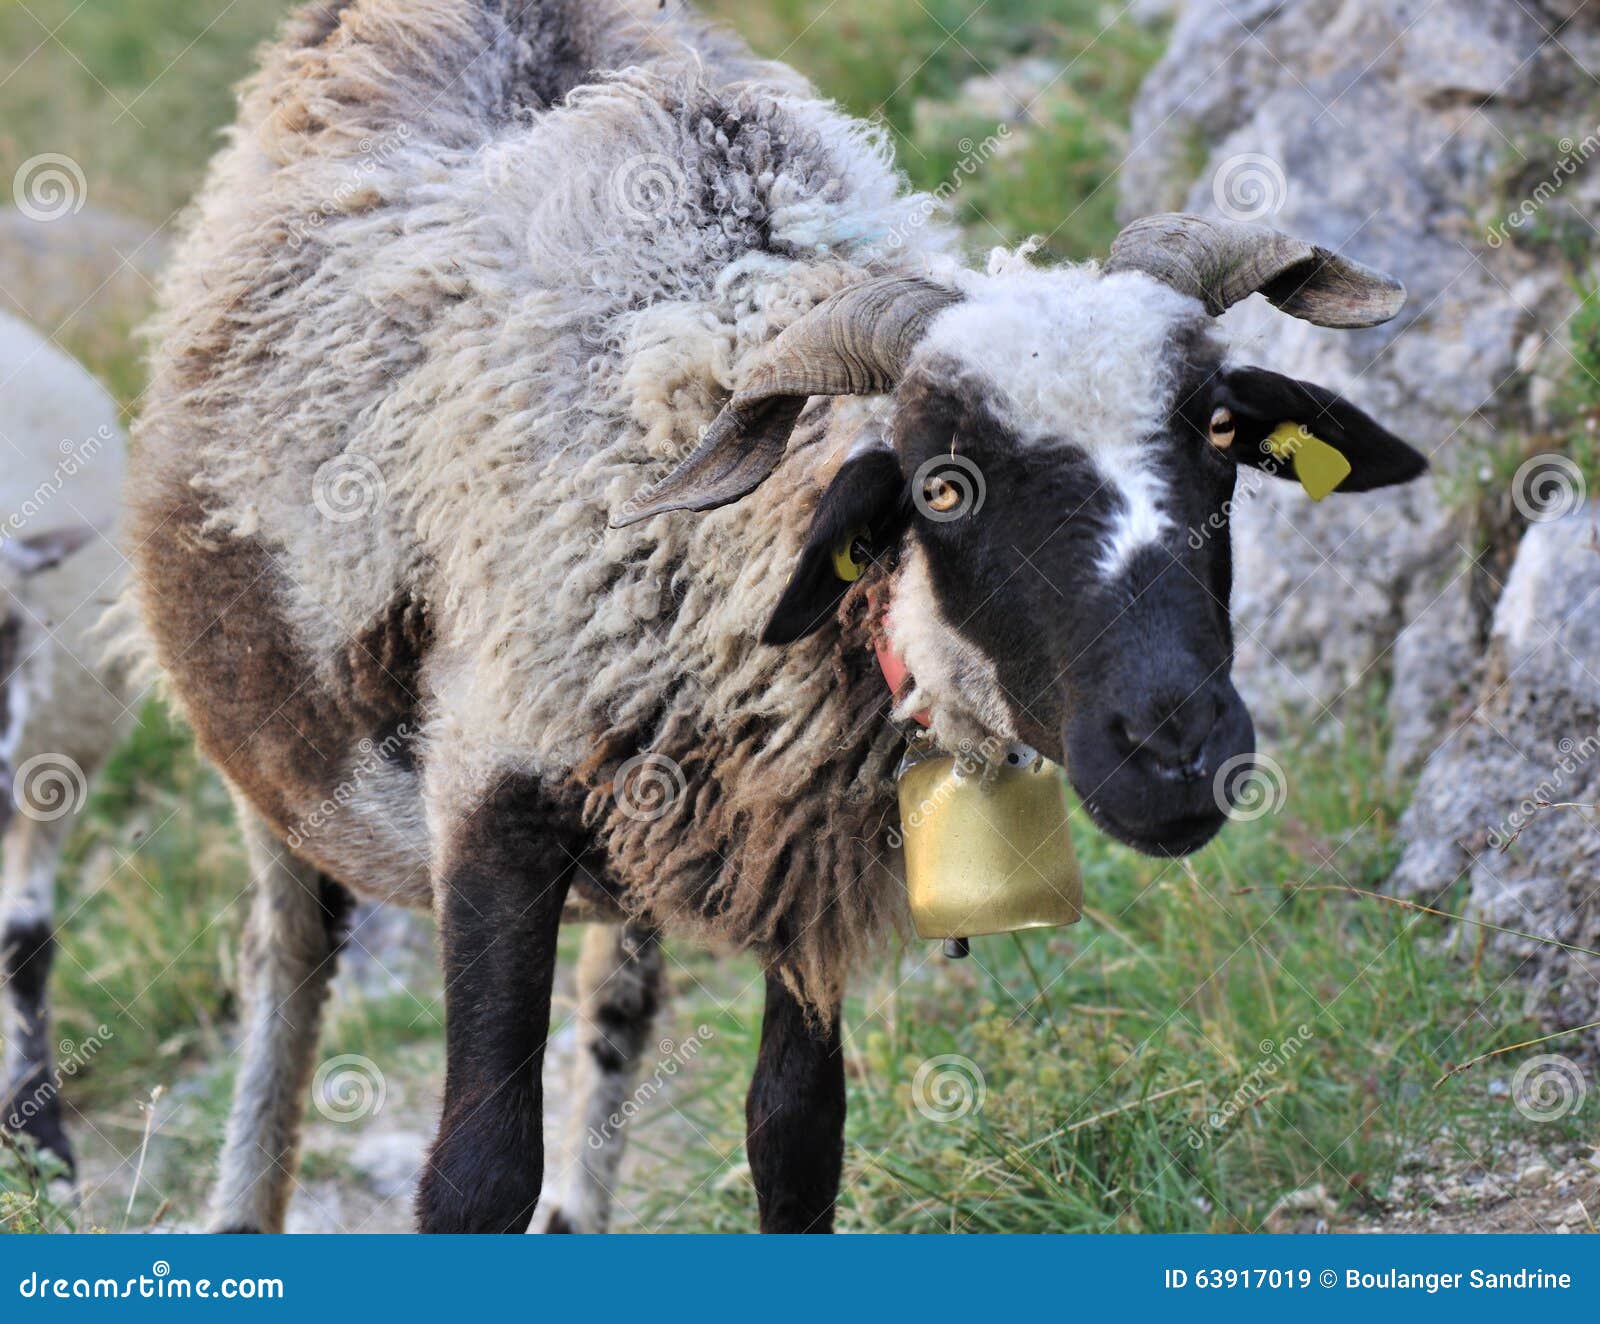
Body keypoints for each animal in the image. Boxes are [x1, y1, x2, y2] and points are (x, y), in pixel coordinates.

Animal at [125, 0, 1427, 1233]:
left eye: (1220, 431)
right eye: (938, 486)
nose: (1173, 746)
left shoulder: (804, 846)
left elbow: (794, 1138)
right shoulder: (490, 793)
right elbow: (474, 1174)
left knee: (618, 996)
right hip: (278, 762)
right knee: (289, 958)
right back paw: (242, 1204)